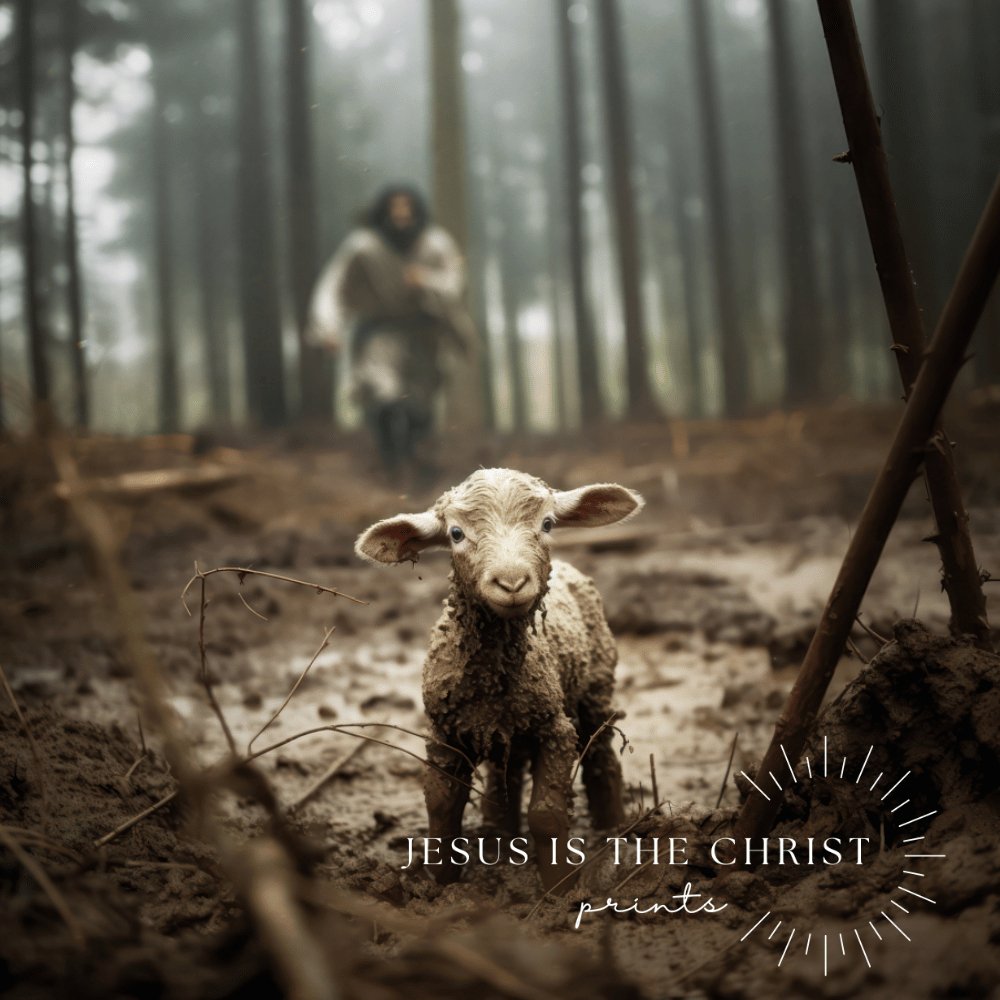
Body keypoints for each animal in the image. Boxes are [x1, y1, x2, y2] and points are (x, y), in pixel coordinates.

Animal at [355, 468, 643, 890]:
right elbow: (440, 806)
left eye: (547, 524)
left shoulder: (554, 728)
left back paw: (613, 829)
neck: (492, 676)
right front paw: (439, 882)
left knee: (601, 755)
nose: (511, 582)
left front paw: (559, 889)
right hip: (508, 725)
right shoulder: (443, 731)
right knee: (505, 770)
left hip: (595, 688)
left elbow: (546, 815)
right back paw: (498, 837)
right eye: (456, 533)